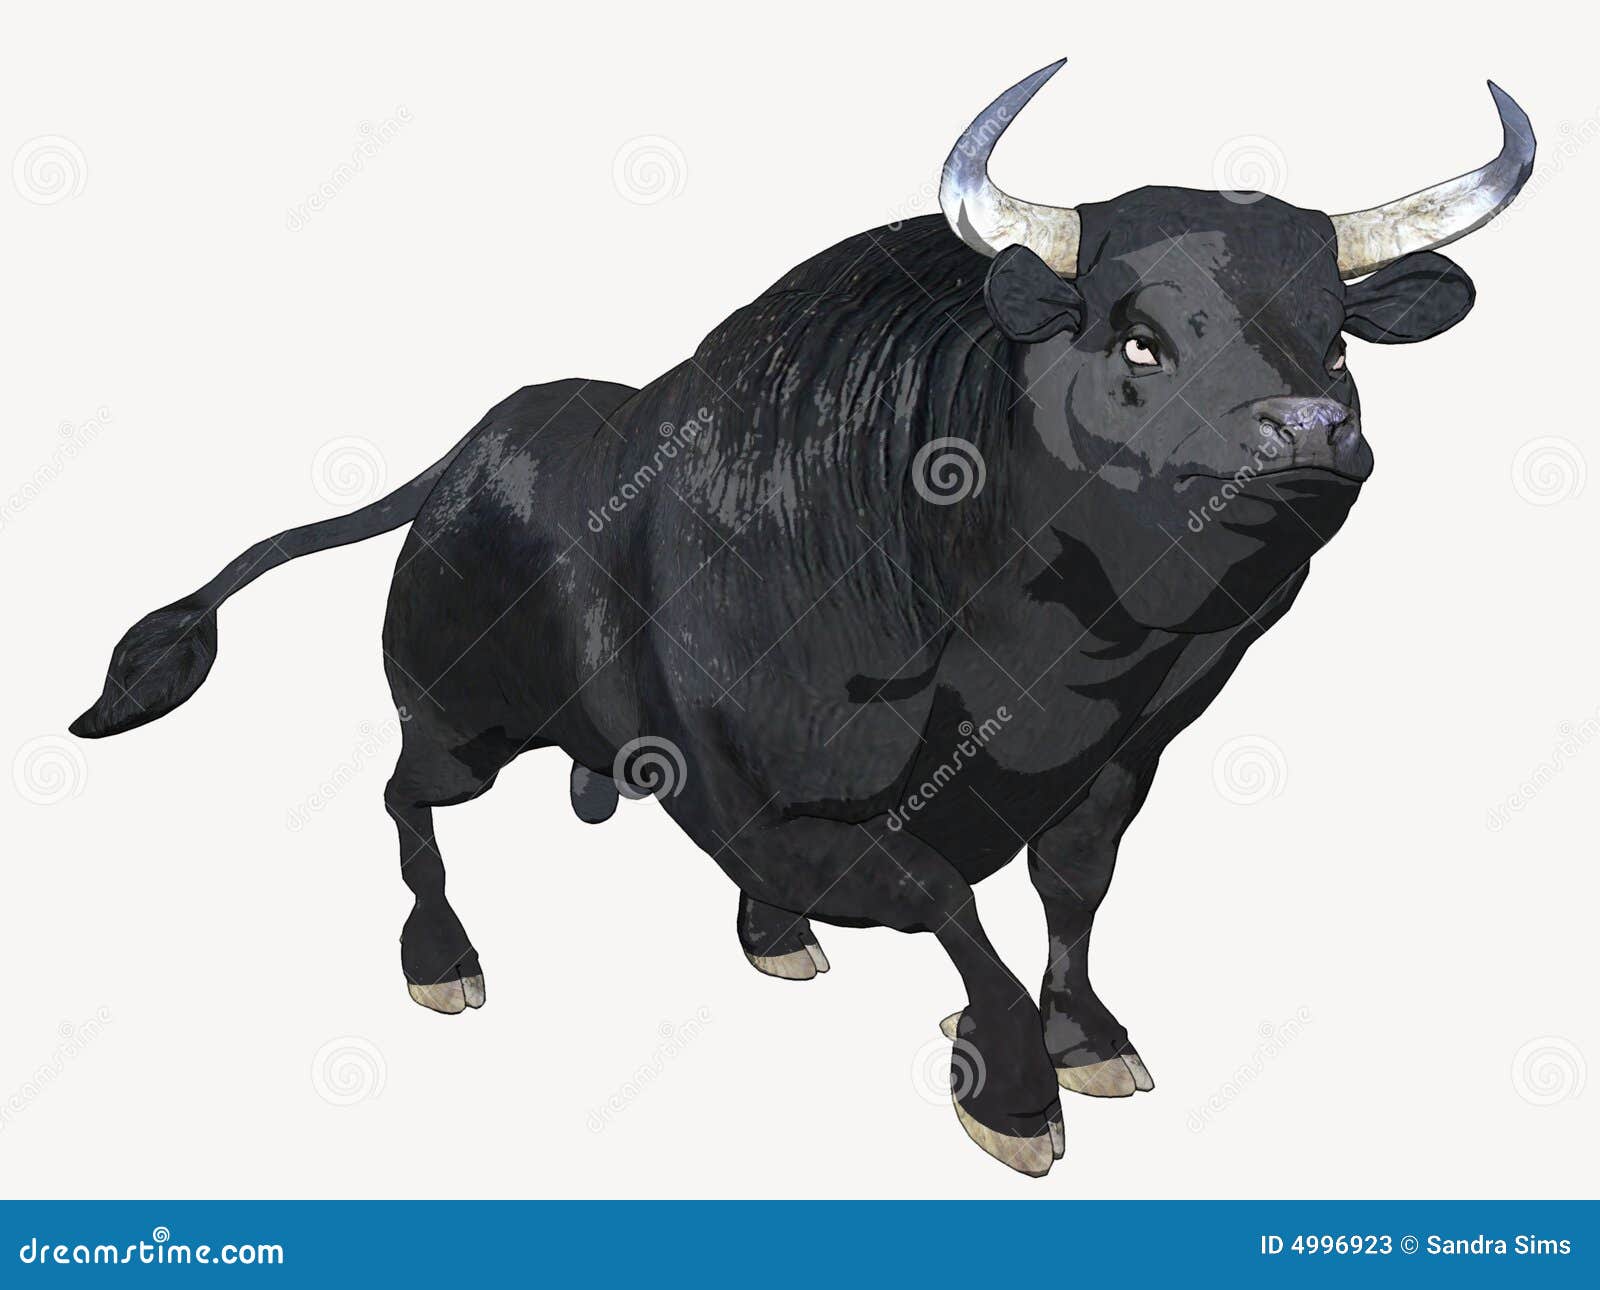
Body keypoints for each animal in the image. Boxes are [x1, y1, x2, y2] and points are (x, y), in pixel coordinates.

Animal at [72, 61, 1534, 1175]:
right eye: (1136, 338)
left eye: (1331, 336)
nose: (1309, 428)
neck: (1050, 656)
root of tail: (469, 453)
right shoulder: (790, 791)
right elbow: (945, 897)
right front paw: (1013, 1095)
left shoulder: (1117, 767)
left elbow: (1070, 893)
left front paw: (1091, 1040)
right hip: (456, 716)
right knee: (402, 797)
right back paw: (442, 958)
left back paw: (768, 938)